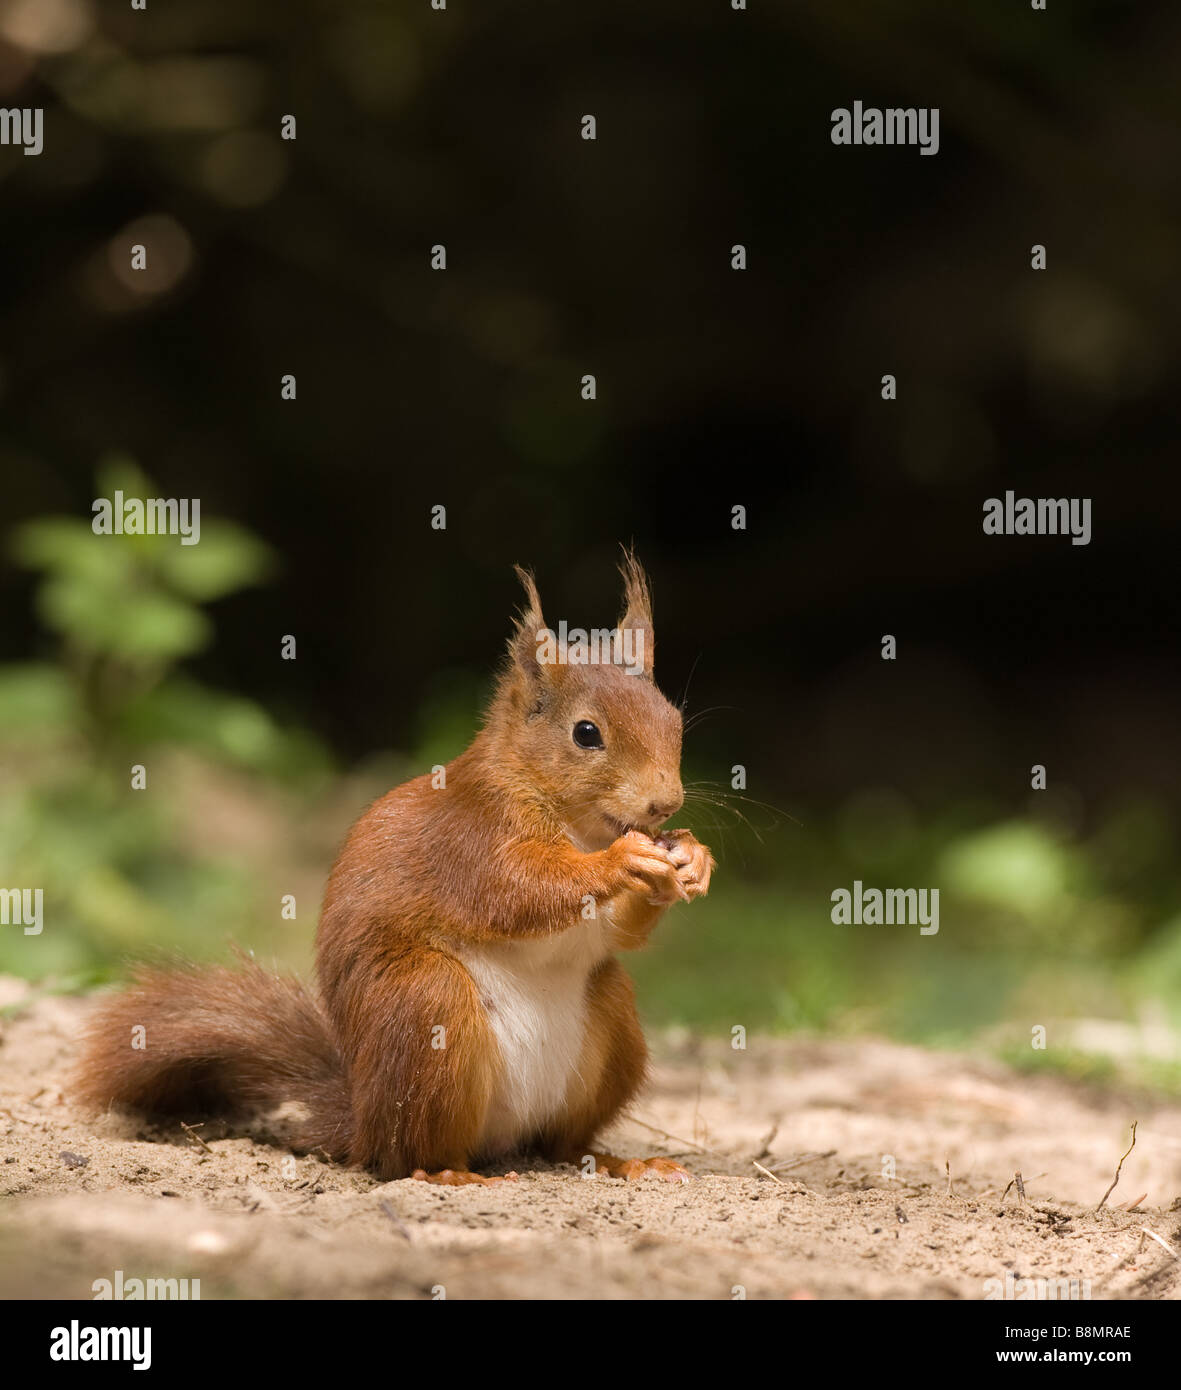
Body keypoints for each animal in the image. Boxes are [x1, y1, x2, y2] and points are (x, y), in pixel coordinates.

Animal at [74, 552, 715, 1186]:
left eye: (673, 721)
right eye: (586, 734)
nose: (666, 805)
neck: (578, 826)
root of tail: (362, 1120)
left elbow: (614, 931)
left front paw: (693, 860)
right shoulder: (470, 839)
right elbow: (517, 891)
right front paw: (624, 860)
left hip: (611, 1020)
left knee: (562, 1142)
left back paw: (619, 1161)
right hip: (428, 1006)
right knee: (410, 1156)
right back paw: (453, 1175)